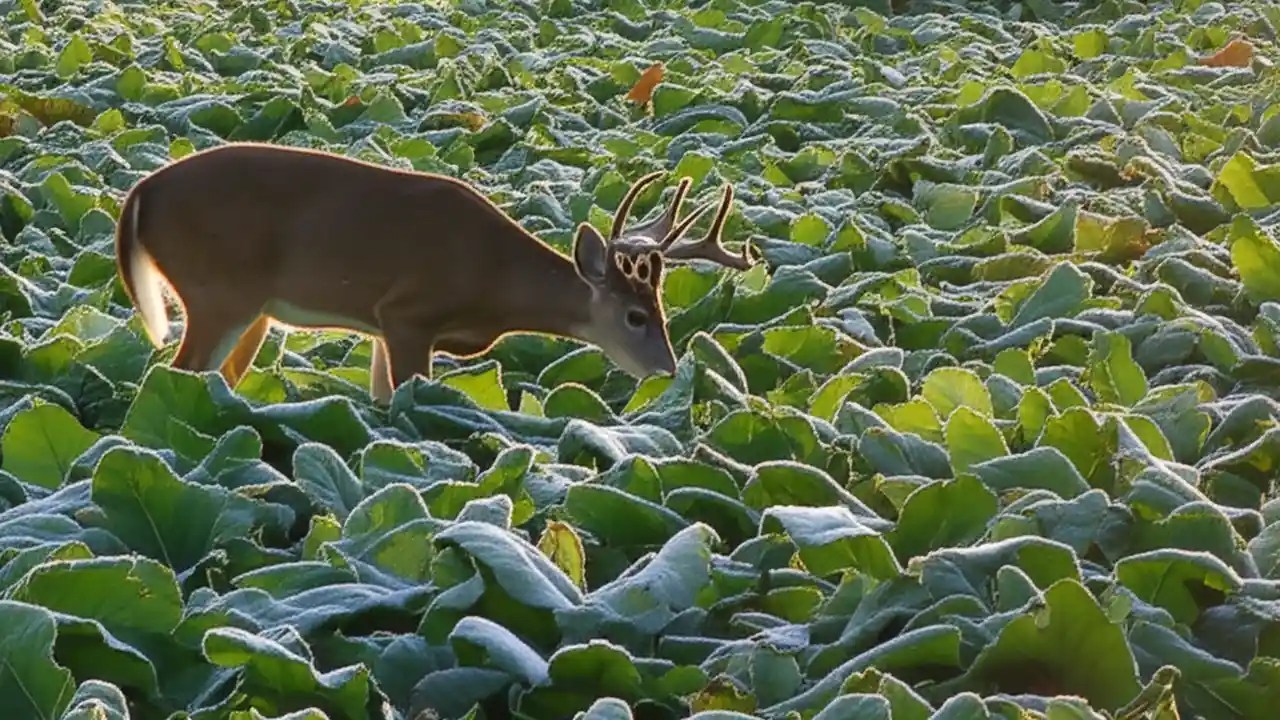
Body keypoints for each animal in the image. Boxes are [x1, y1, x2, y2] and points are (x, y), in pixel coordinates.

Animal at [112, 142, 755, 404]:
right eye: (636, 315)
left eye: (666, 314)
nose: (668, 372)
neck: (494, 284)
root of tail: (140, 193)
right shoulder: (408, 312)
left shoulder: (381, 327)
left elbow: (380, 400)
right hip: (220, 291)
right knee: (177, 371)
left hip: (253, 311)